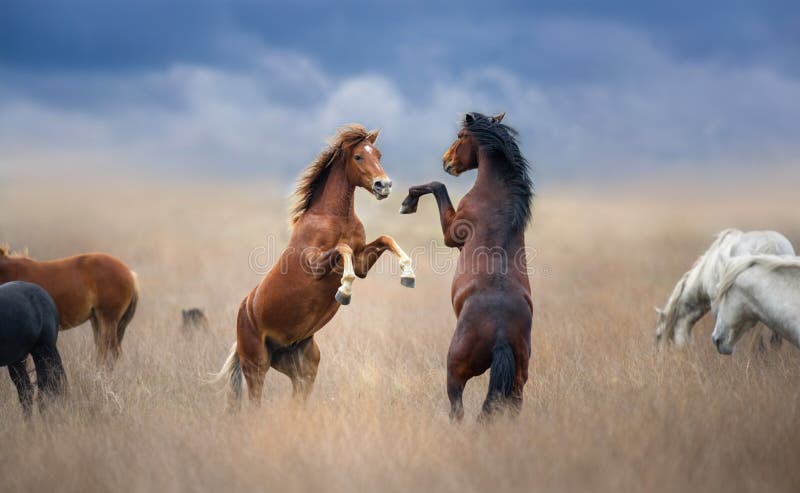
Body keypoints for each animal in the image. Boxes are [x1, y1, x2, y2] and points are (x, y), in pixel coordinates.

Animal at [213, 124, 415, 408]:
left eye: (378, 154)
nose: (383, 185)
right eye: (358, 157)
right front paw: (344, 291)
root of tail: (244, 314)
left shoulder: (362, 262)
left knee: (298, 398)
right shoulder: (316, 265)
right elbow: (342, 250)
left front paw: (408, 274)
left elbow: (385, 239)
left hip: (305, 367)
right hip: (255, 365)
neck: (335, 218)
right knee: (254, 401)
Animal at [400, 112, 533, 421]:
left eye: (461, 136)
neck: (497, 196)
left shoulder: (453, 234)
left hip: (456, 369)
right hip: (518, 380)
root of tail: (501, 333)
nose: (446, 161)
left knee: (457, 408)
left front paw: (408, 202)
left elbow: (437, 186)